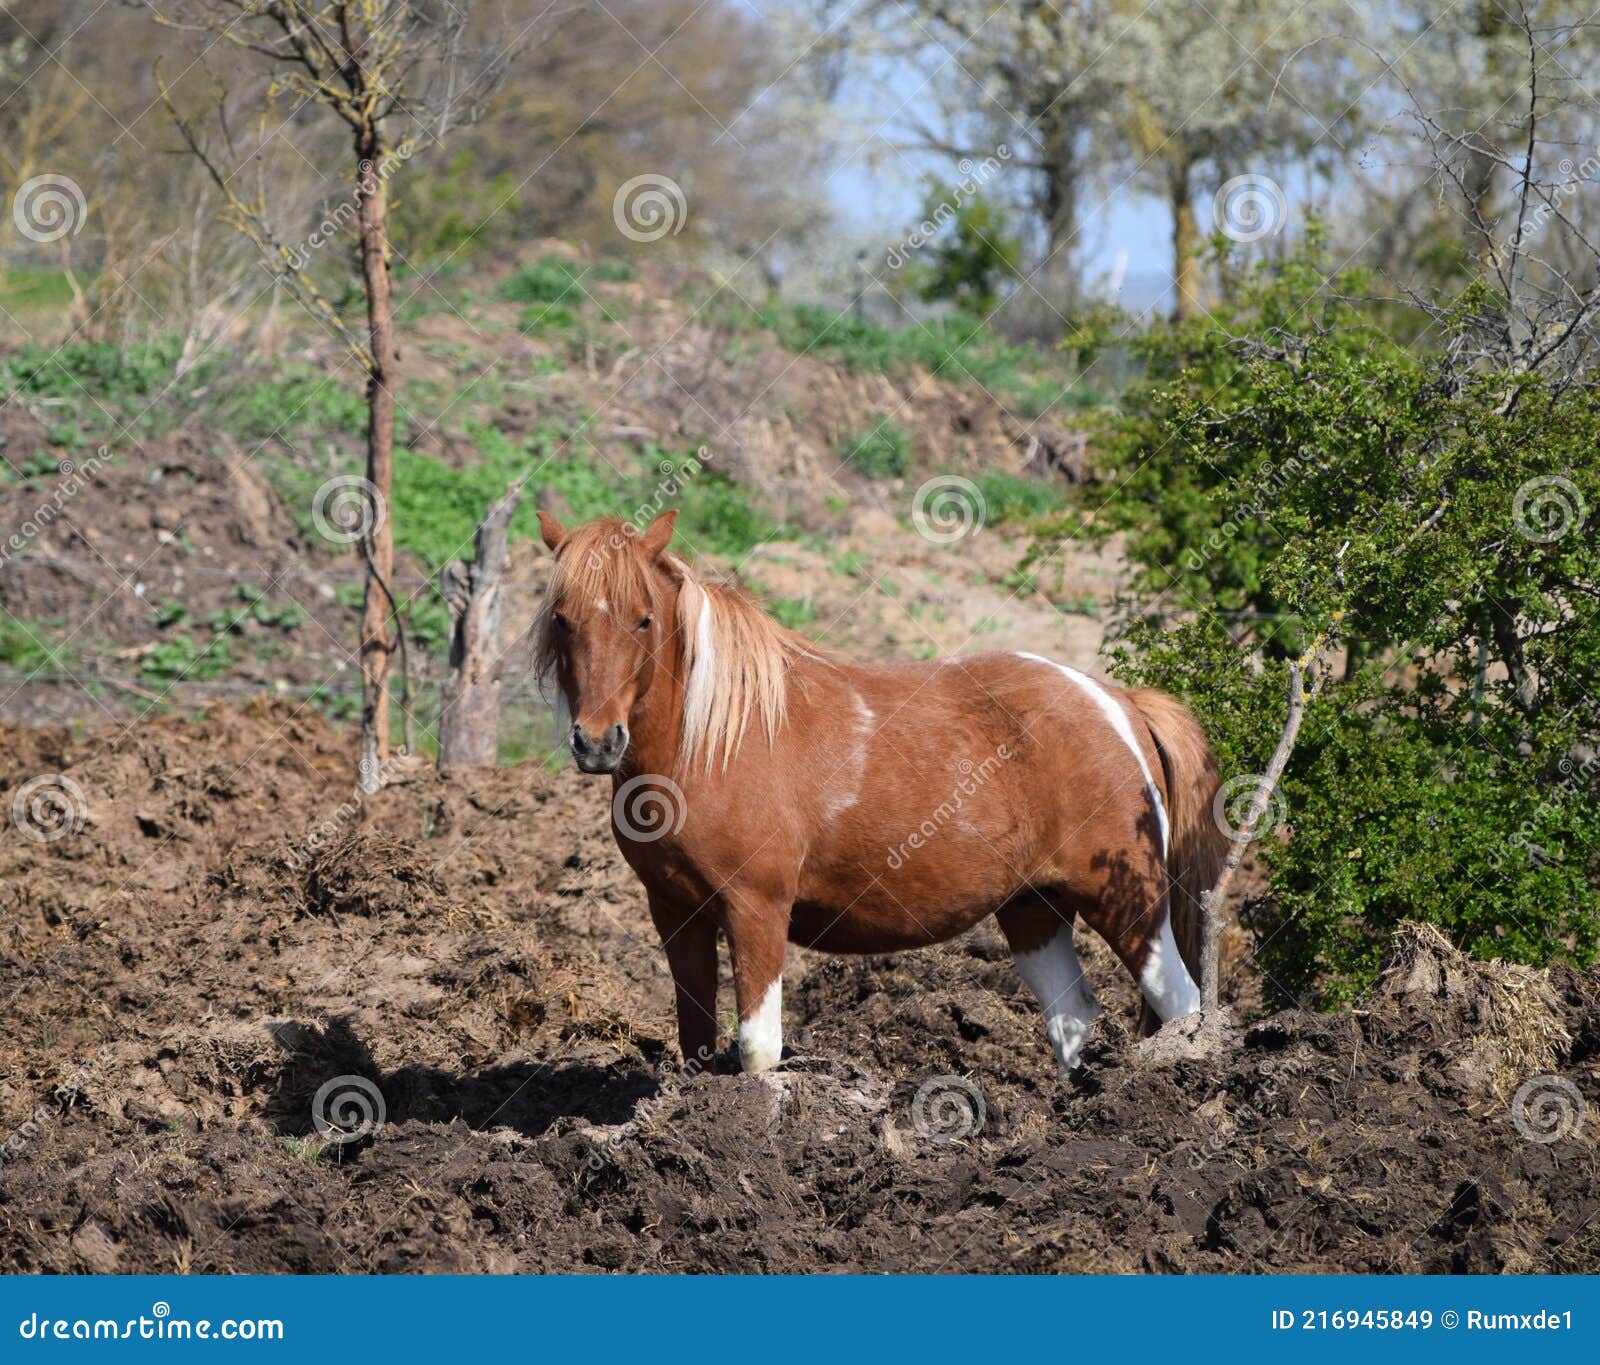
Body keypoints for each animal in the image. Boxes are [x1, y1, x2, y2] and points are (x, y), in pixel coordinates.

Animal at [533, 507, 1225, 1078]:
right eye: (562, 620)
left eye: (643, 619)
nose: (598, 741)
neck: (711, 739)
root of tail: (1118, 703)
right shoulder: (676, 913)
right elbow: (696, 1042)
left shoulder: (756, 910)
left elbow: (758, 1049)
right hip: (1033, 908)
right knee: (1072, 1018)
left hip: (1128, 902)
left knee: (1182, 1004)